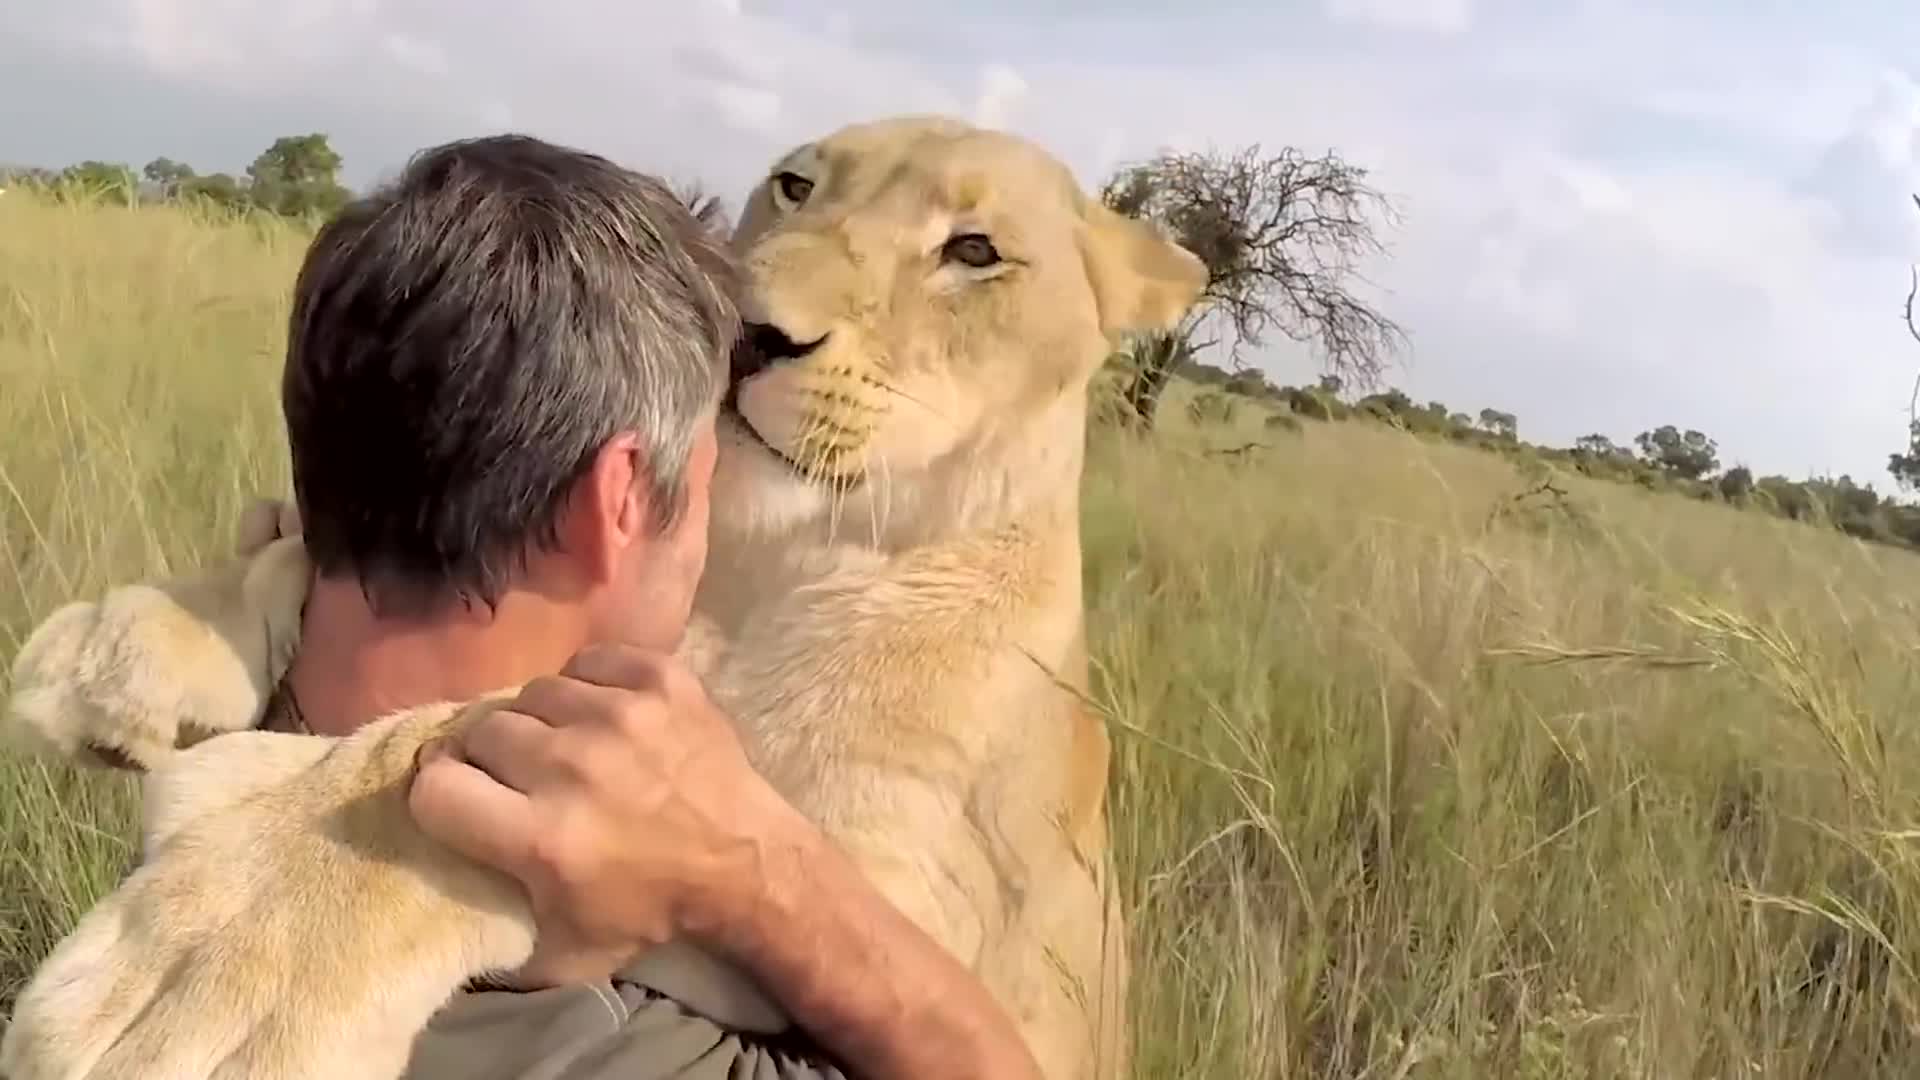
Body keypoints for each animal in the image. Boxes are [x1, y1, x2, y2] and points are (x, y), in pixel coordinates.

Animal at [0, 115, 1206, 1080]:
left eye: (974, 251)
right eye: (797, 185)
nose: (750, 331)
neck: (756, 578)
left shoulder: (871, 899)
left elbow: (459, 742)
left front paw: (218, 959)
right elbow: (301, 564)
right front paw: (132, 646)